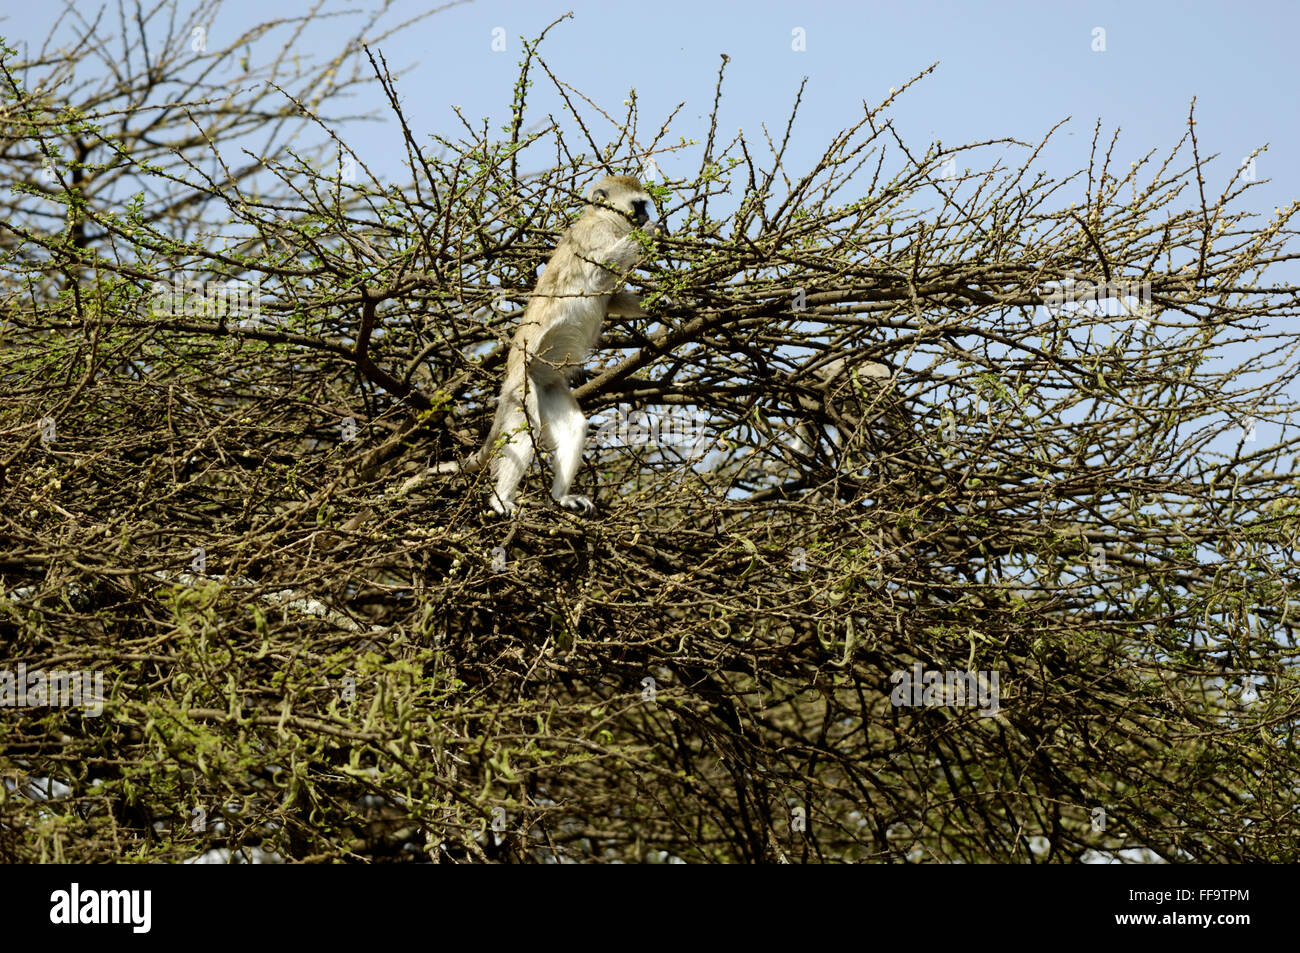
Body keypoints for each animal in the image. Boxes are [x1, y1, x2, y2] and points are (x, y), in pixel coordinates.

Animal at [401, 175, 663, 516]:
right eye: (638, 206)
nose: (645, 218)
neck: (603, 219)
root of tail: (515, 377)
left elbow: (613, 298)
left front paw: (667, 303)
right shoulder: (595, 238)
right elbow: (598, 272)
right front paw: (648, 233)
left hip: (546, 386)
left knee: (574, 427)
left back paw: (561, 497)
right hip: (520, 392)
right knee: (526, 429)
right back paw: (501, 500)